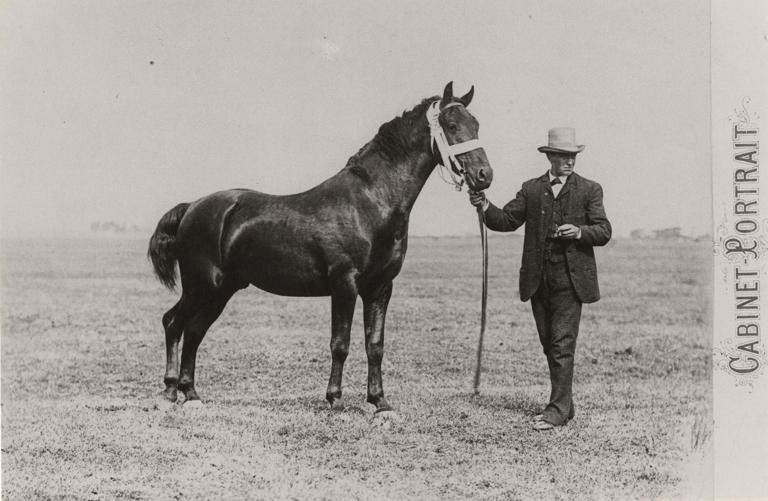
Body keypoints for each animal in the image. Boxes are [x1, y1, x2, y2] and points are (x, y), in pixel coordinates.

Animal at [147, 82, 493, 418]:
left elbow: (375, 345)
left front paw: (380, 403)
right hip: (201, 286)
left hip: (221, 291)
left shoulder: (380, 287)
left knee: (194, 331)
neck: (370, 201)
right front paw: (334, 401)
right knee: (174, 323)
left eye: (476, 124)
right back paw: (169, 392)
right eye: (451, 125)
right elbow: (340, 343)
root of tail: (192, 206)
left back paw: (191, 395)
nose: (484, 176)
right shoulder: (344, 283)